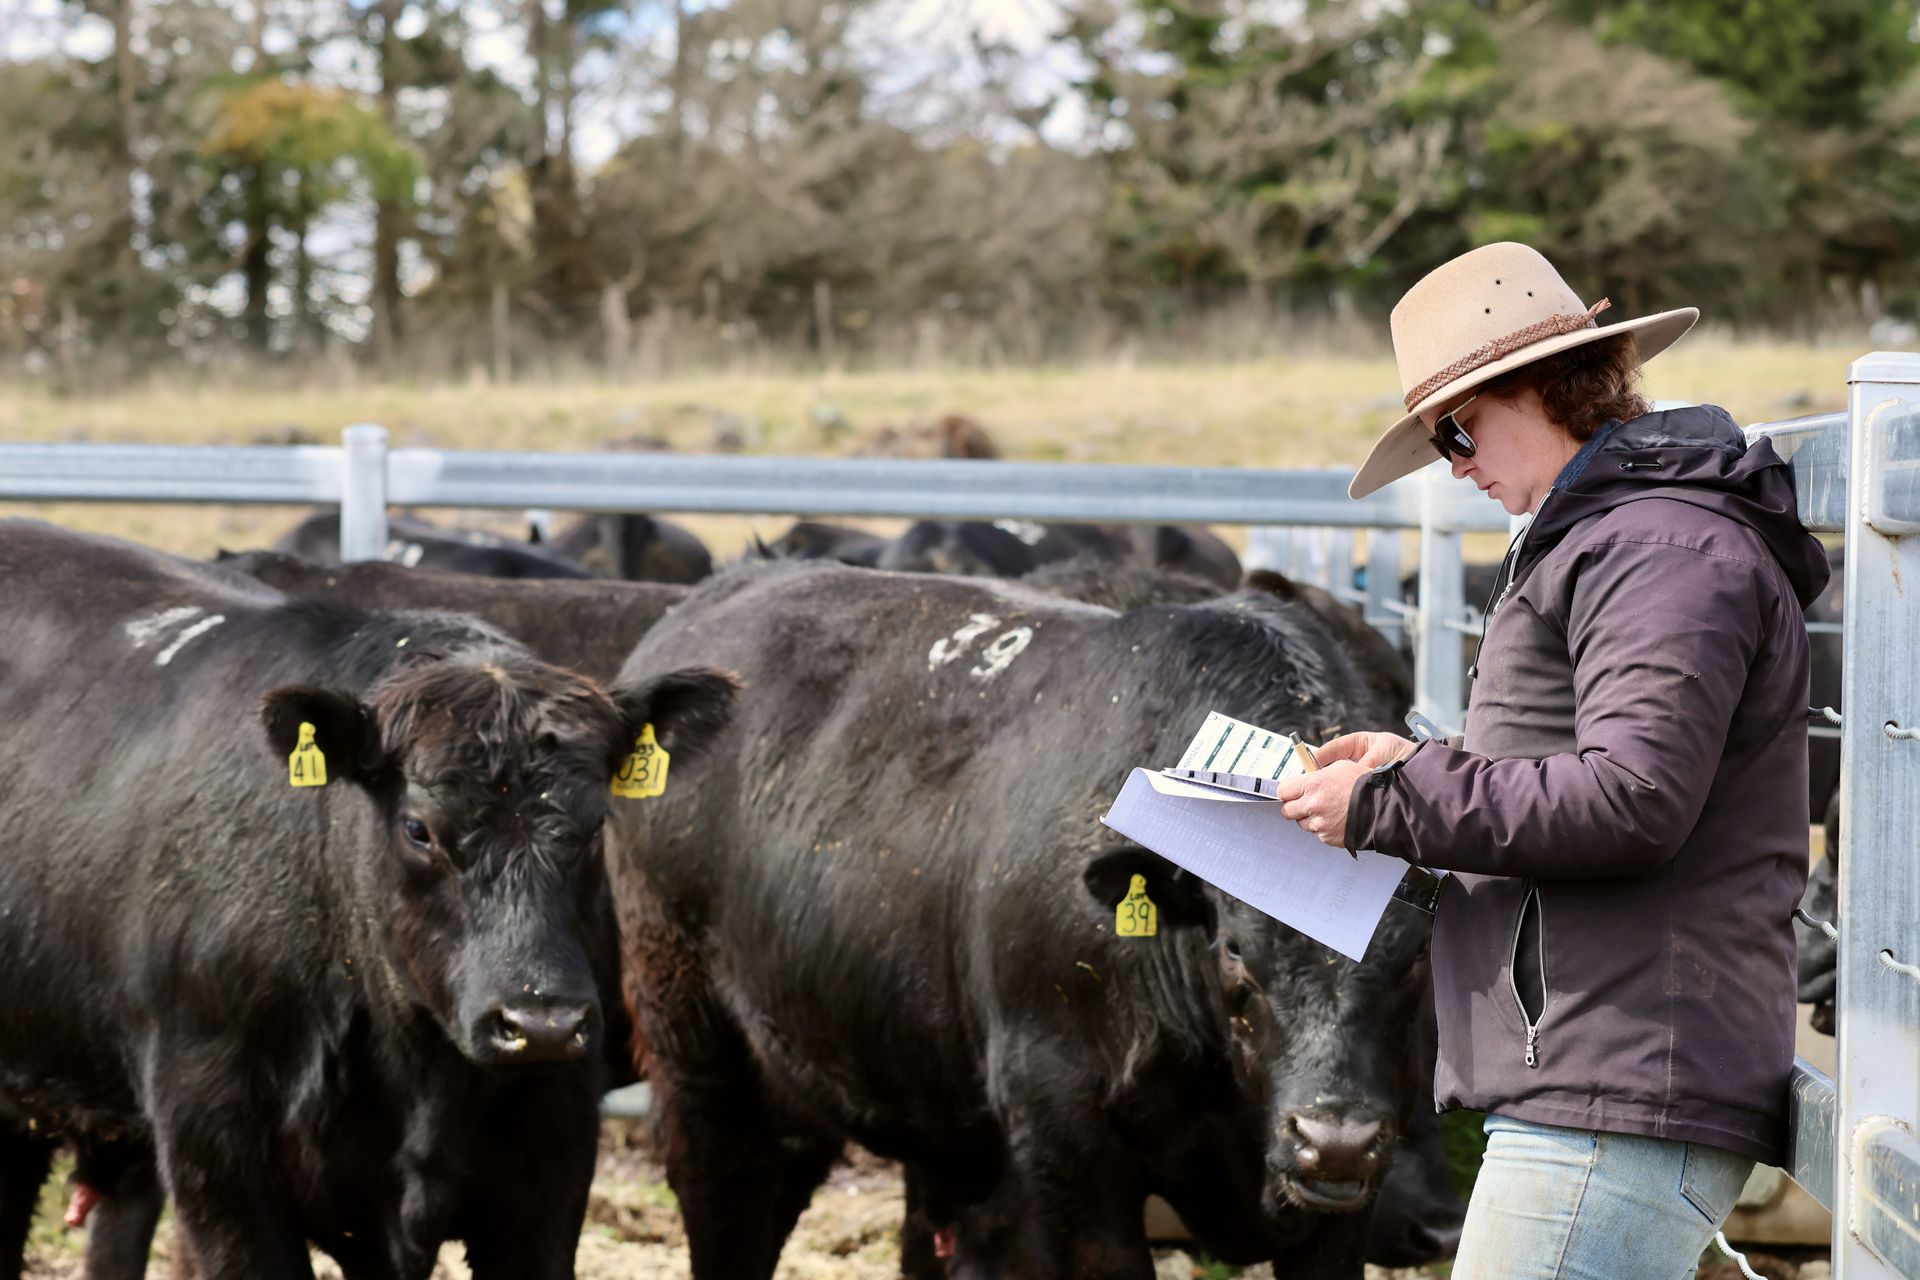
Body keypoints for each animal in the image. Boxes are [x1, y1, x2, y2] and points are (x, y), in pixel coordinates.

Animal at [603, 561, 1434, 1278]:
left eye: (1416, 958)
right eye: (1234, 949)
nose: (1335, 1140)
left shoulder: (1340, 1204)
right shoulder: (1061, 1121)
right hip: (692, 1030)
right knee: (726, 1190)